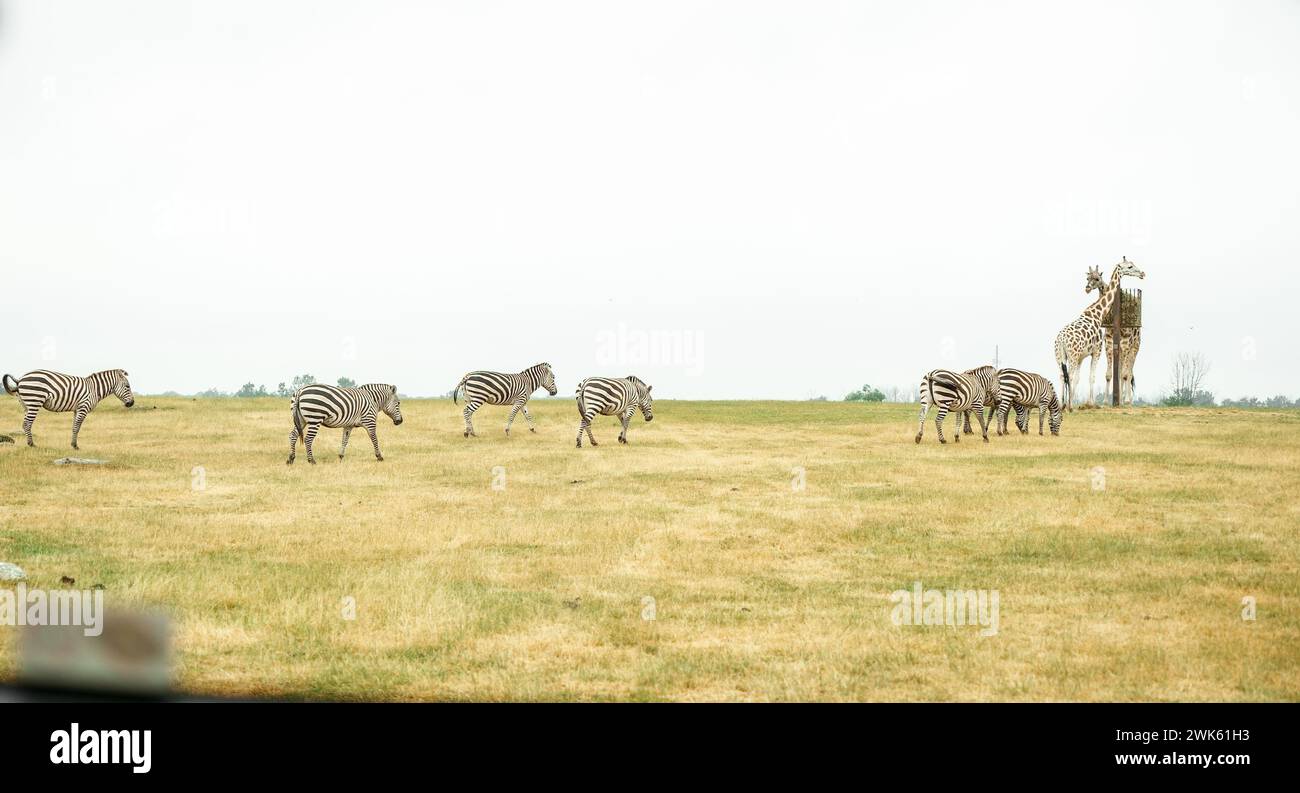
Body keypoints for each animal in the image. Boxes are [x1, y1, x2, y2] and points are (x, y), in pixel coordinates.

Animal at [3, 369, 134, 448]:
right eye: (127, 386)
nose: (132, 403)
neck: (94, 389)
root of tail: (20, 379)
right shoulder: (83, 407)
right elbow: (77, 427)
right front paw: (75, 446)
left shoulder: (77, 409)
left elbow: (74, 427)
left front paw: (72, 444)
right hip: (35, 401)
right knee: (27, 423)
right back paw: (32, 444)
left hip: (26, 404)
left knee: (25, 424)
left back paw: (29, 443)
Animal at [1053, 257, 1145, 411]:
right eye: (1130, 266)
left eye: (1097, 278)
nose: (1142, 273)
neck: (1098, 314)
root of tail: (1061, 340)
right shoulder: (1097, 351)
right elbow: (1091, 377)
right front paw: (1090, 403)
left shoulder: (1083, 355)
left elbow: (1080, 378)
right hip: (1072, 356)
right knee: (1069, 376)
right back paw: (1069, 406)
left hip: (1060, 356)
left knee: (1061, 375)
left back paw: (1062, 404)